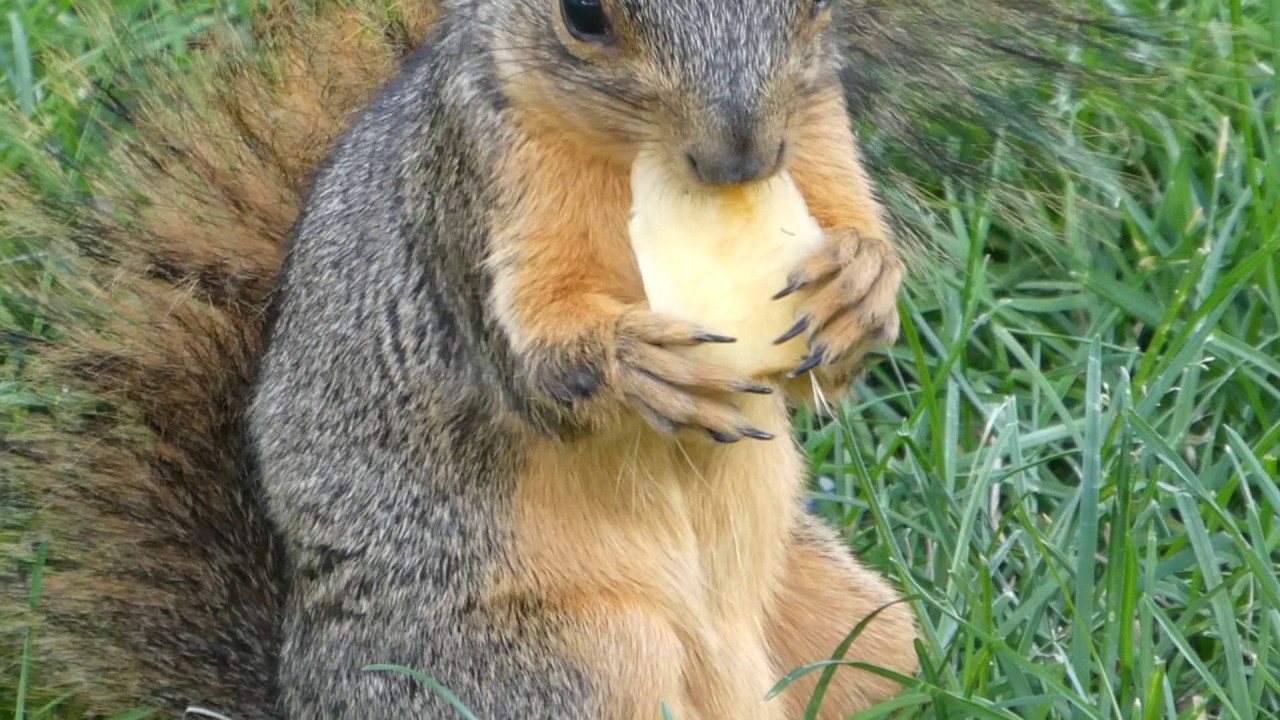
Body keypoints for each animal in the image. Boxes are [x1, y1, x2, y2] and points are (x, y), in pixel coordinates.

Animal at [0, 0, 1154, 717]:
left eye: (817, 1)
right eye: (584, 14)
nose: (742, 158)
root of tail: (303, 689)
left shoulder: (819, 129)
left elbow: (830, 326)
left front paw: (862, 286)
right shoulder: (472, 188)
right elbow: (529, 360)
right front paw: (632, 364)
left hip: (856, 631)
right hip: (566, 660)